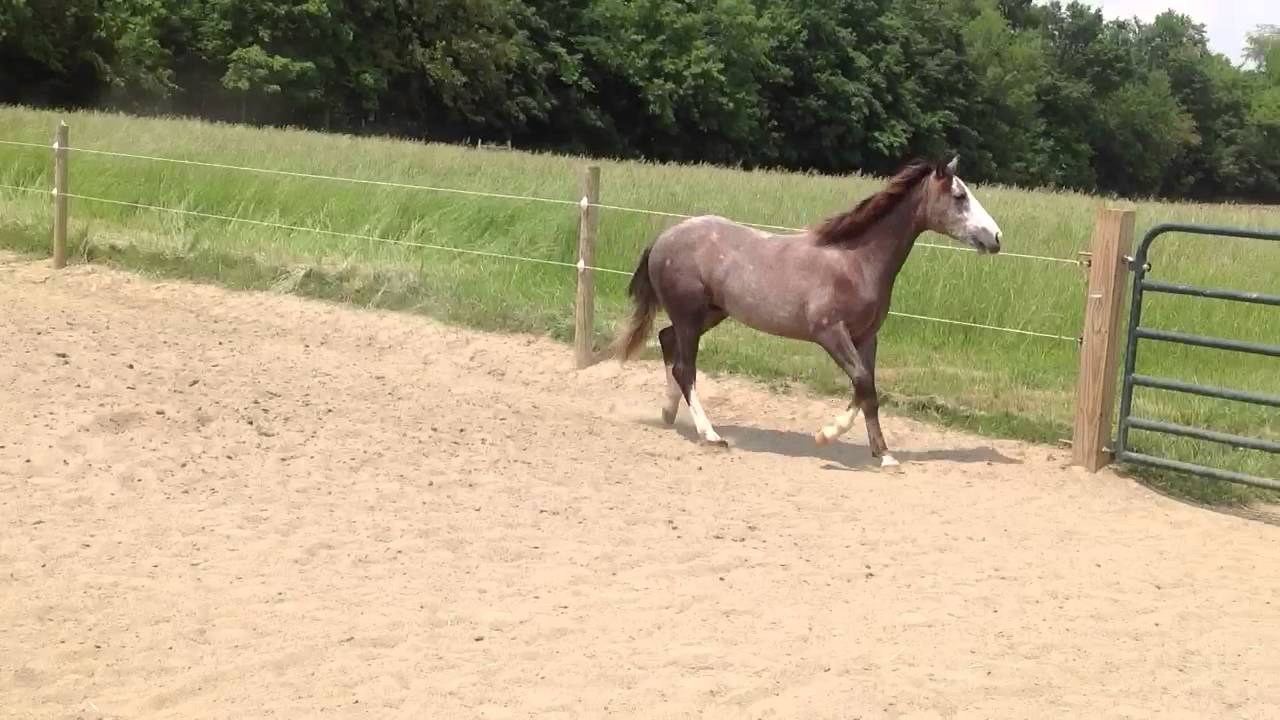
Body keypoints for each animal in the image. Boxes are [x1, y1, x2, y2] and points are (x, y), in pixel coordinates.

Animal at [610, 156, 1002, 468]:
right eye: (959, 196)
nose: (996, 237)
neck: (856, 261)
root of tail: (664, 237)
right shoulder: (830, 332)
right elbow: (863, 383)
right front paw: (828, 435)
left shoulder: (867, 337)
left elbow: (868, 389)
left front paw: (884, 454)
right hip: (690, 316)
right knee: (684, 368)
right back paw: (711, 435)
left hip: (709, 314)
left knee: (666, 341)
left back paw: (668, 413)